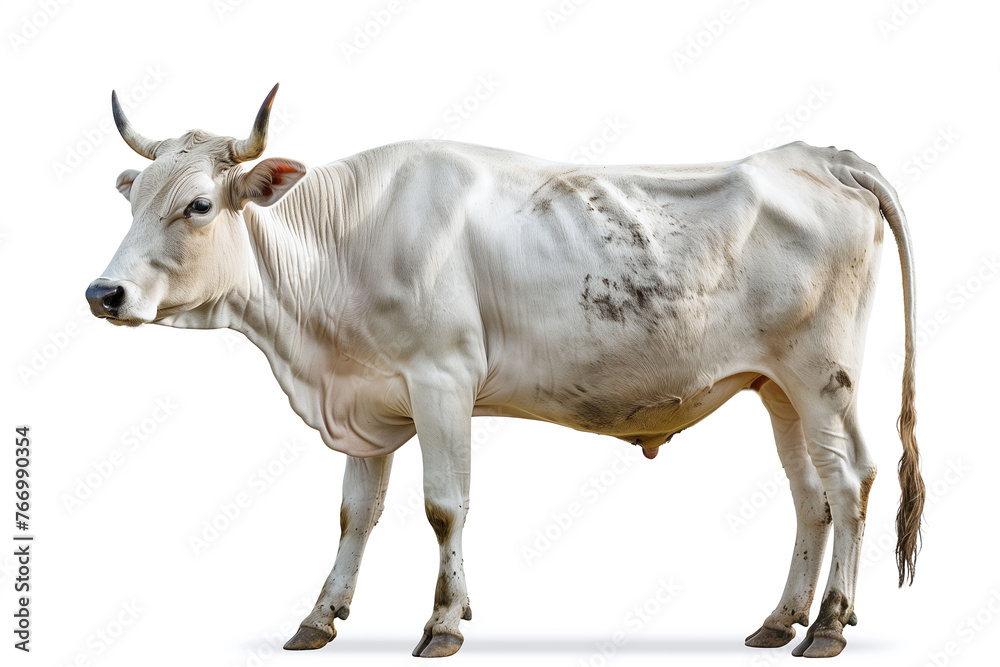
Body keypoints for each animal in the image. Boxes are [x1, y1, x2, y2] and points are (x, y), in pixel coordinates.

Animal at [85, 84, 925, 659]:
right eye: (133, 204)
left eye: (198, 205)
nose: (103, 292)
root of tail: (820, 156)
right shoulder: (369, 401)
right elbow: (356, 512)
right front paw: (319, 616)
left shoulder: (441, 379)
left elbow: (444, 506)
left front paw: (443, 622)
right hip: (776, 387)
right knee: (810, 497)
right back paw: (780, 619)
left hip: (825, 374)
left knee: (851, 480)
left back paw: (828, 625)